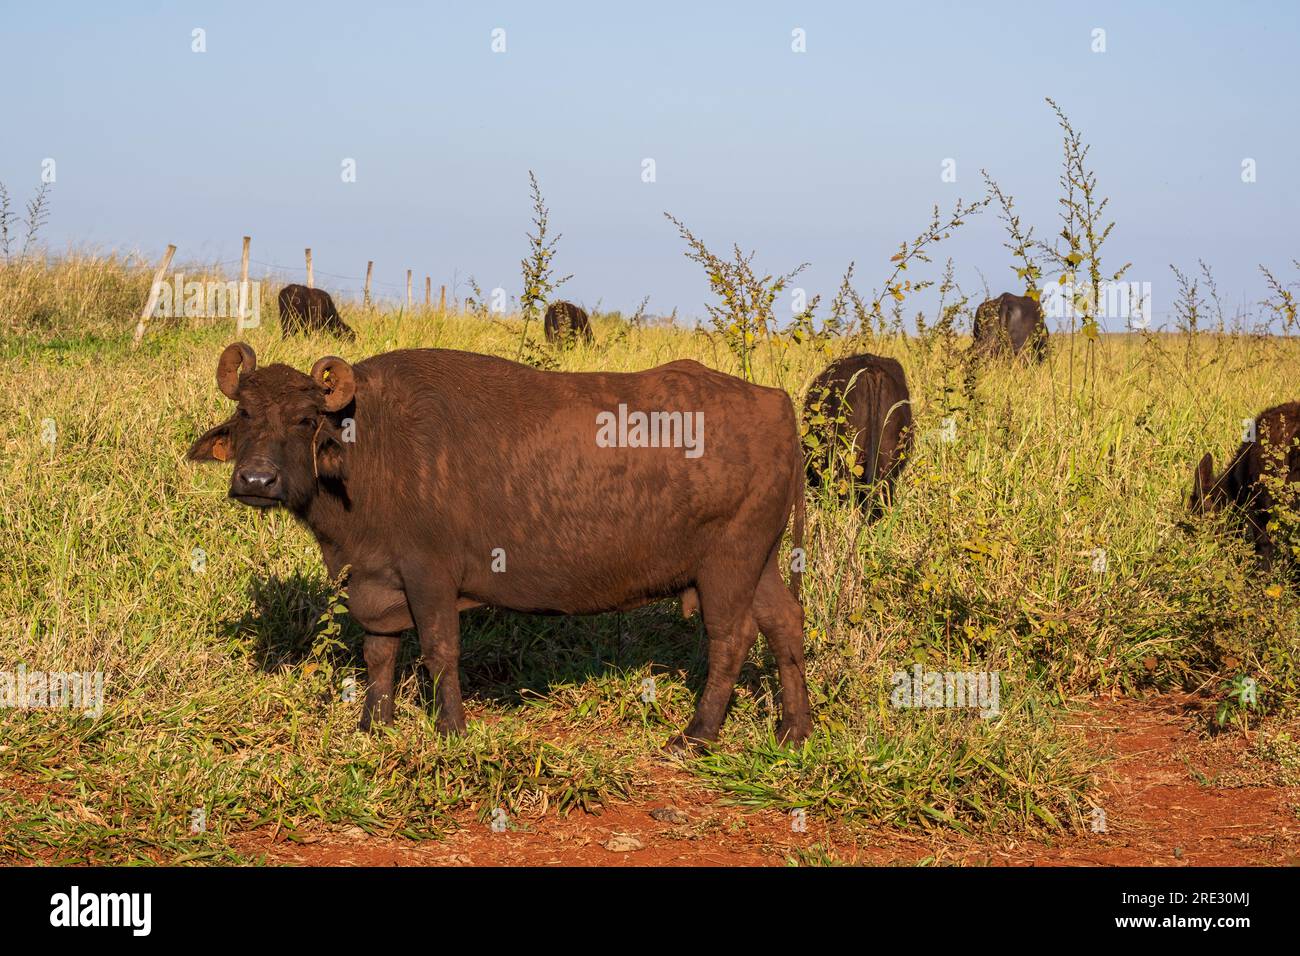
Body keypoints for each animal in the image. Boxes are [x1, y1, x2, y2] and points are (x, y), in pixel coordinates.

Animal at [189, 343, 810, 748]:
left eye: (303, 418)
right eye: (245, 413)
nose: (256, 480)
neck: (373, 446)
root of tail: (775, 402)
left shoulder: (430, 574)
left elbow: (440, 649)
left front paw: (450, 729)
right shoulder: (375, 577)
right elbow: (379, 653)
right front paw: (374, 725)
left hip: (727, 565)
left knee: (730, 638)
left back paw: (697, 735)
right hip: (761, 562)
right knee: (785, 623)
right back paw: (793, 728)